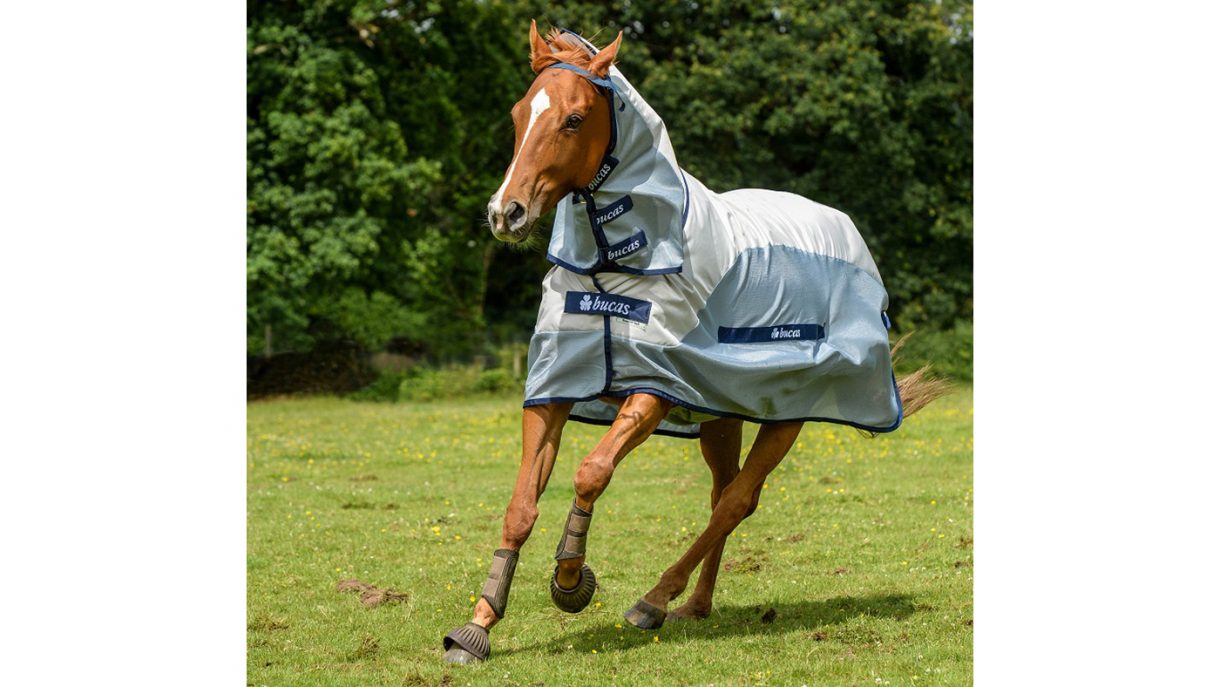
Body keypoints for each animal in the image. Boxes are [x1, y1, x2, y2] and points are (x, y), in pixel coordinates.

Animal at [441, 22, 949, 664]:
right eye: (517, 114)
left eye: (575, 119)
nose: (505, 212)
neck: (615, 261)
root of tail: (845, 233)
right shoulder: (555, 388)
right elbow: (520, 506)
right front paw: (478, 625)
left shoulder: (654, 388)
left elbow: (591, 472)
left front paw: (571, 579)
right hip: (720, 413)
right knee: (721, 496)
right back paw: (695, 605)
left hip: (786, 415)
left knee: (737, 501)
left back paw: (654, 600)